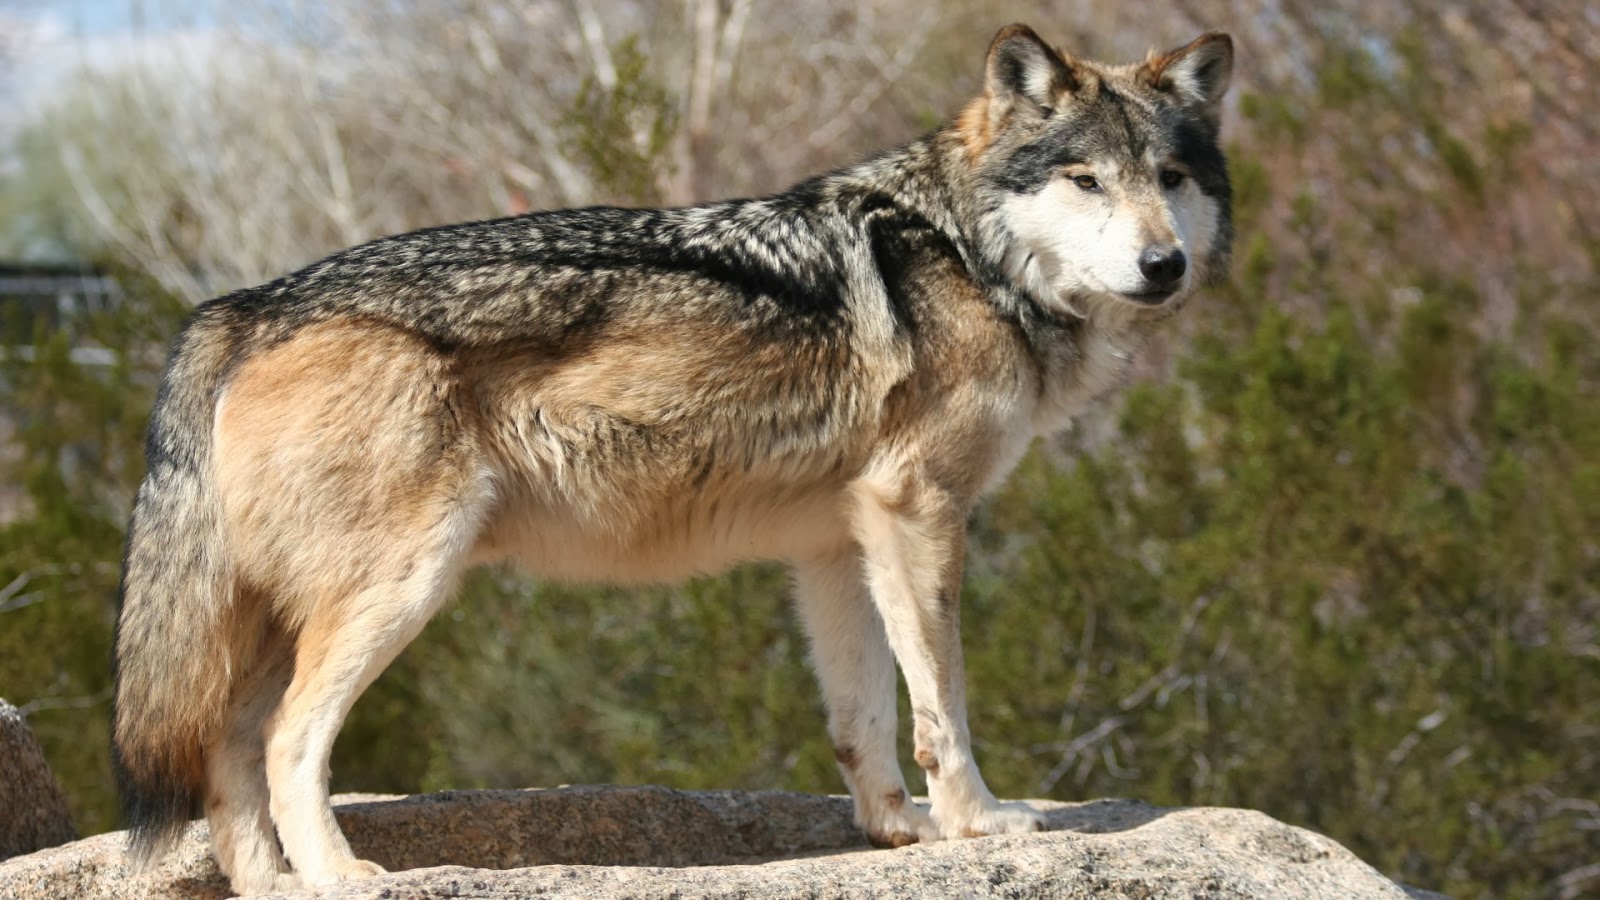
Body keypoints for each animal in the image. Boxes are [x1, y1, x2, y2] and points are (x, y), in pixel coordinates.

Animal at [111, 24, 1232, 894]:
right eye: (1084, 179)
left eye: (1169, 179)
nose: (1164, 265)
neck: (965, 252)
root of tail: (239, 305)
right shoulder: (920, 513)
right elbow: (940, 708)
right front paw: (977, 824)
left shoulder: (838, 546)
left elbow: (863, 716)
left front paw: (896, 833)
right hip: (398, 587)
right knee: (289, 740)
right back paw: (340, 875)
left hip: (285, 615)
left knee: (227, 749)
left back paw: (270, 885)